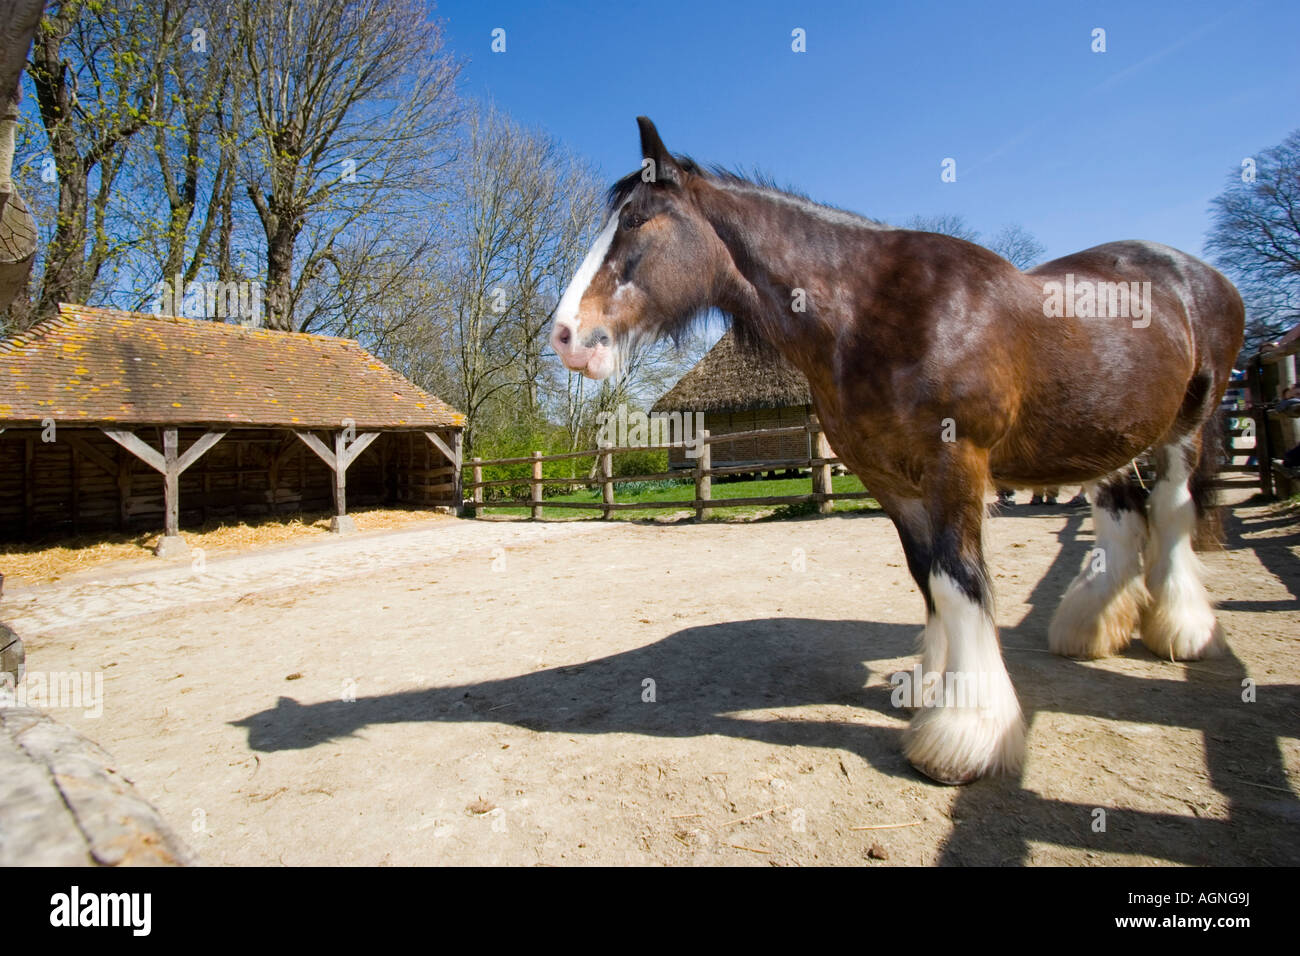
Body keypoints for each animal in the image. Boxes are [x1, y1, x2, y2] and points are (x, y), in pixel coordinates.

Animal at [549, 117, 1245, 784]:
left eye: (635, 220)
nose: (564, 335)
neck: (871, 312)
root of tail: (1202, 277)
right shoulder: (891, 480)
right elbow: (927, 575)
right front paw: (934, 686)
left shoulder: (954, 464)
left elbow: (959, 577)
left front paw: (966, 732)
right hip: (1105, 437)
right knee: (1122, 516)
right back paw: (1092, 625)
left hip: (1184, 429)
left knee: (1172, 514)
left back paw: (1183, 628)